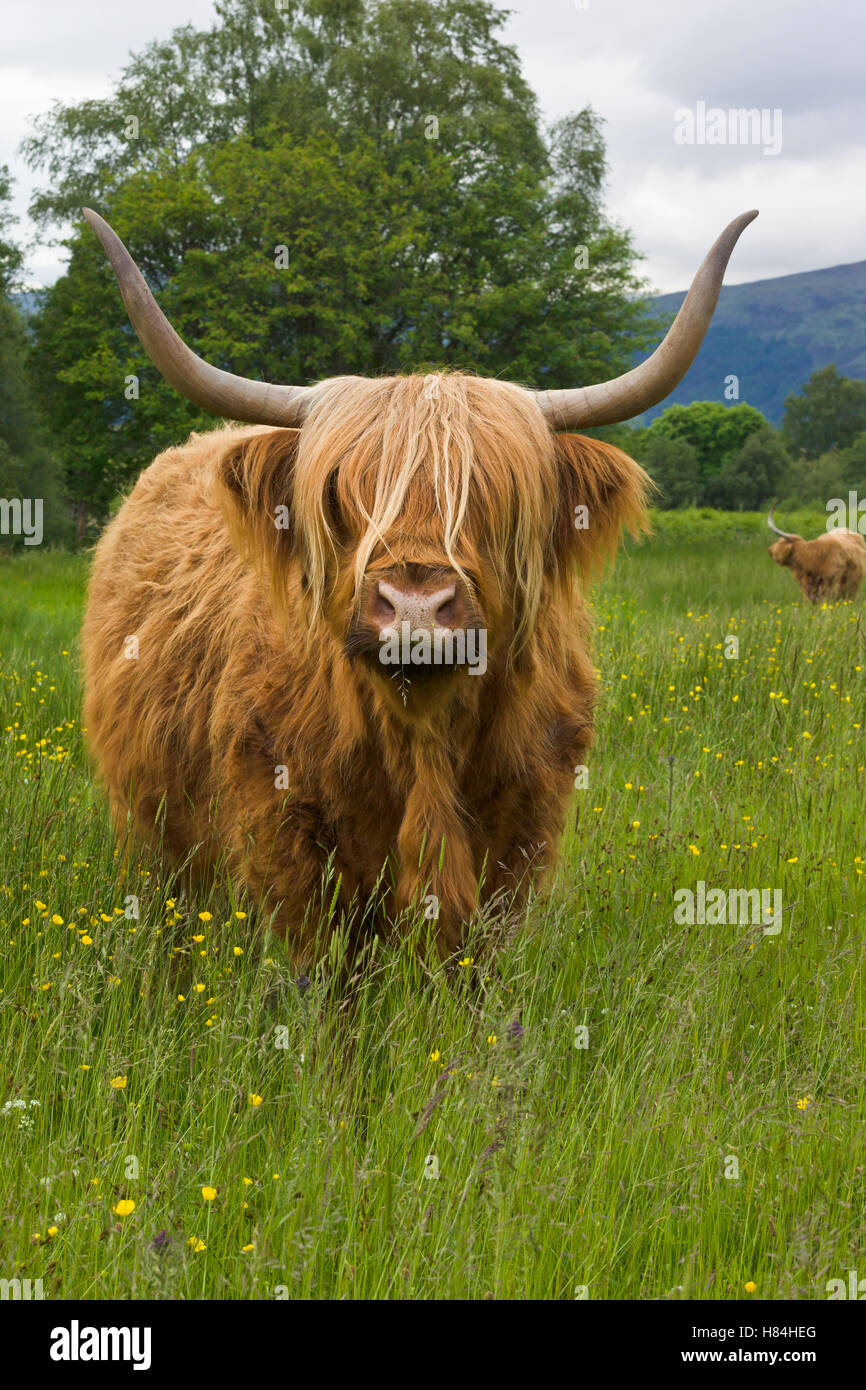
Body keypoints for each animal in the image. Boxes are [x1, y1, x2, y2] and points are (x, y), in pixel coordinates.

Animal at [81, 207, 757, 966]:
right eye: (339, 495)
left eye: (497, 499)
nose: (414, 609)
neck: (423, 735)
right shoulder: (287, 843)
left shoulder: (518, 843)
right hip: (154, 834)